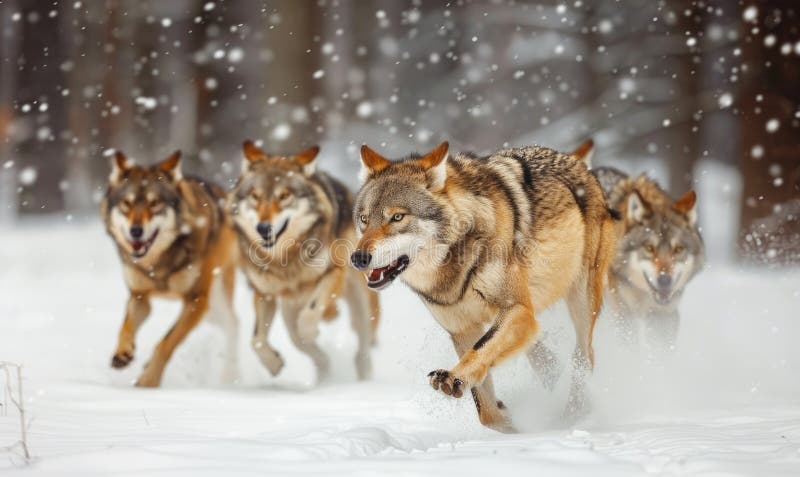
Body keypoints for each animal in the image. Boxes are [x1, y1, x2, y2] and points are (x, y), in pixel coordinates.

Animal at [101, 150, 239, 387]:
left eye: (155, 203)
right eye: (127, 204)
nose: (136, 231)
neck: (157, 264)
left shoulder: (196, 300)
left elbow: (166, 342)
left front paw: (148, 380)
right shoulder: (139, 296)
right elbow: (125, 326)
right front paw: (123, 353)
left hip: (215, 304)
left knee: (234, 326)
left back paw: (229, 376)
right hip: (211, 313)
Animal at [228, 141, 379, 382]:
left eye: (284, 196)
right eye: (255, 196)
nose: (263, 228)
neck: (286, 259)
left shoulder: (333, 272)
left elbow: (309, 317)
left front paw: (313, 328)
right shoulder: (264, 293)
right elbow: (257, 339)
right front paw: (274, 364)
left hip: (360, 300)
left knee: (362, 347)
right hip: (288, 309)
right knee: (298, 340)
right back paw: (324, 372)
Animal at [350, 141, 617, 431]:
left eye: (397, 217)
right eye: (364, 219)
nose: (358, 258)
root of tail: (575, 161)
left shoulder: (516, 310)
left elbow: (479, 352)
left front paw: (452, 378)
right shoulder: (463, 330)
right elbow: (486, 412)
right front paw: (510, 423)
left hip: (580, 302)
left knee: (583, 356)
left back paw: (575, 413)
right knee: (540, 352)